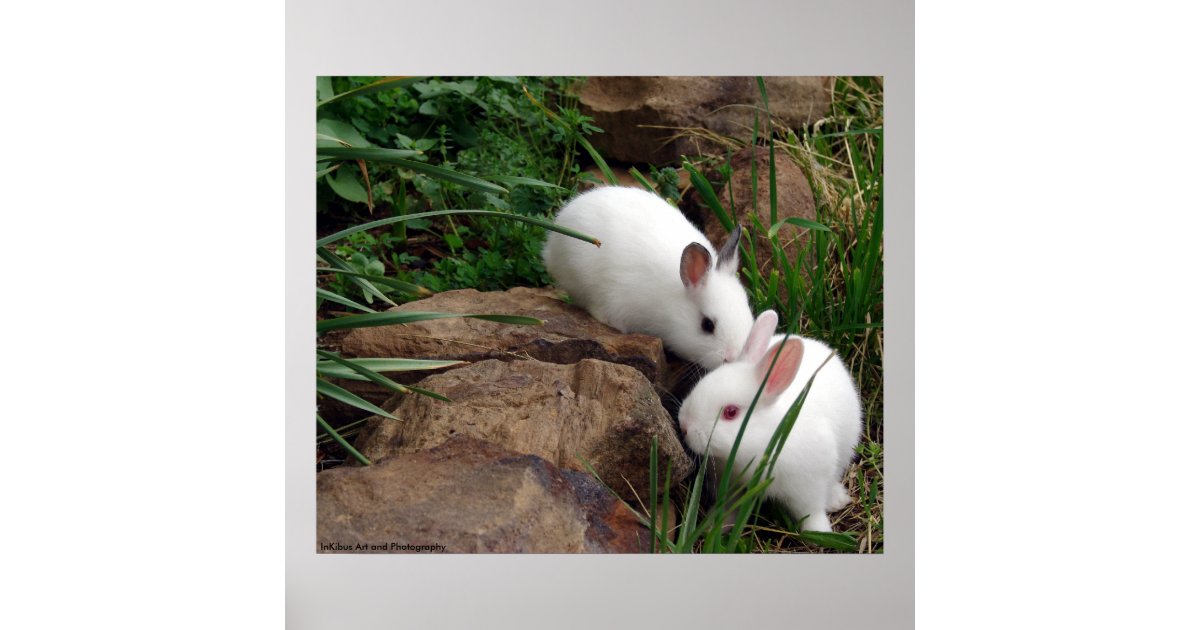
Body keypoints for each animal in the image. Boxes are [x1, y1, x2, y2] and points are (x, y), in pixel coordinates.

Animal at [677, 310, 862, 532]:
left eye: (730, 412)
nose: (684, 426)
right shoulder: (730, 485)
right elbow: (729, 506)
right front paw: (713, 525)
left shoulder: (809, 484)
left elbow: (812, 512)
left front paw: (820, 531)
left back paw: (837, 499)